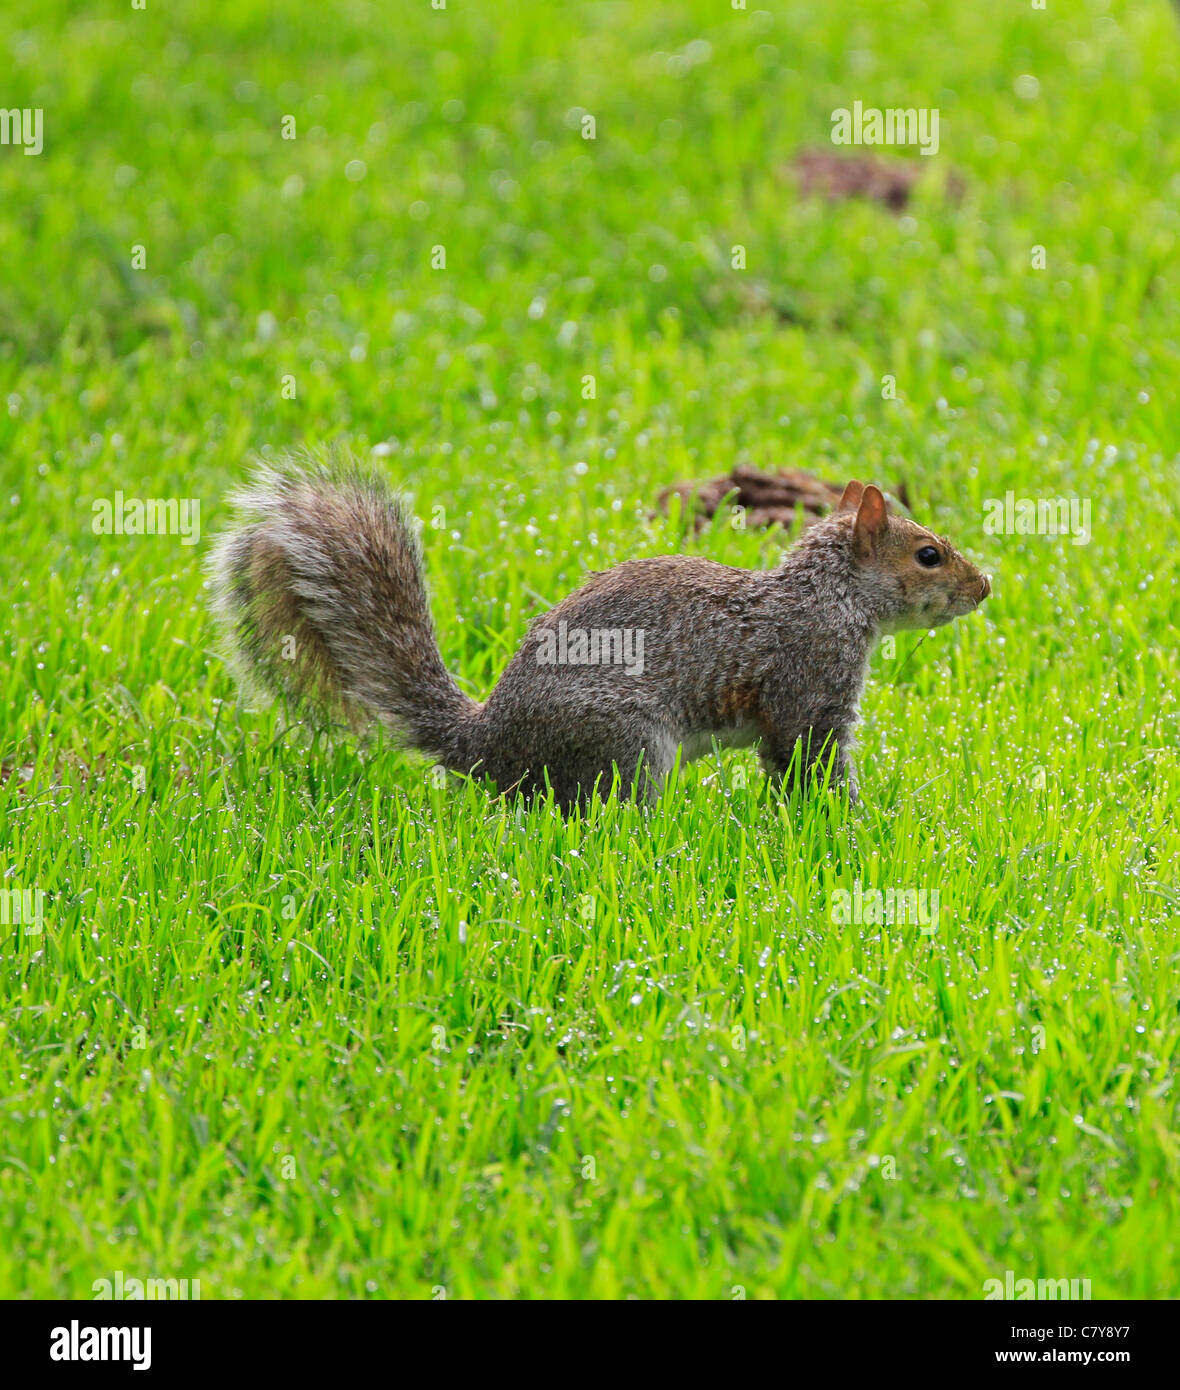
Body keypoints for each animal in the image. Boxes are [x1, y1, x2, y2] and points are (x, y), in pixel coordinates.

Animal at [208, 457, 990, 807]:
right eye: (928, 555)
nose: (985, 588)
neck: (829, 596)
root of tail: (488, 748)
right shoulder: (808, 685)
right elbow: (806, 762)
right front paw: (850, 824)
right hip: (624, 742)